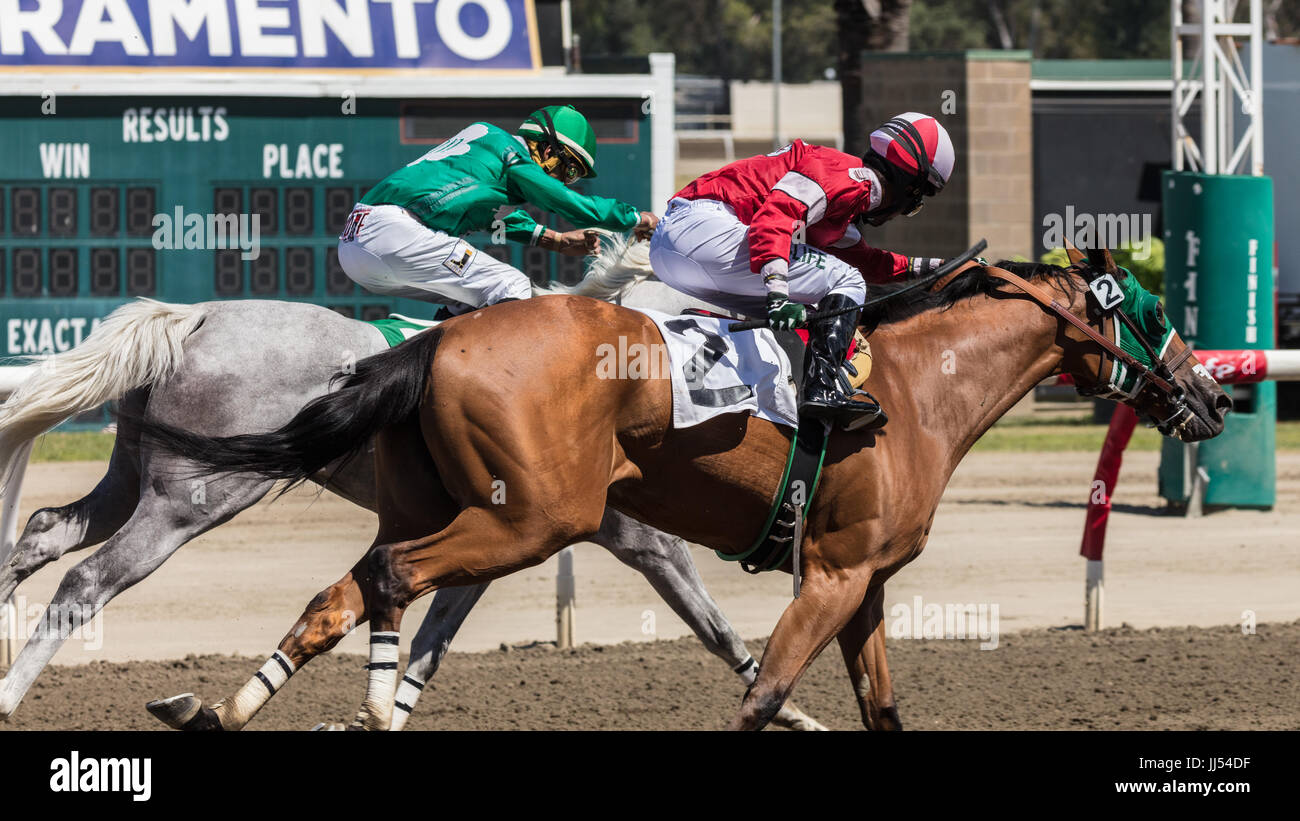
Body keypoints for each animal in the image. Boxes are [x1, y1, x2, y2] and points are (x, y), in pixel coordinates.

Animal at [0, 236, 828, 730]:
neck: (620, 359)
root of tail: (194, 316)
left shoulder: (502, 536)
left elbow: (430, 645)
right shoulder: (636, 537)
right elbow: (714, 624)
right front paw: (794, 713)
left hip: (132, 474)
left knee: (44, 530)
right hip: (189, 498)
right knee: (86, 581)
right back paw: (10, 692)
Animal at [133, 248, 1230, 731]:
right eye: (1146, 307)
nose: (1212, 392)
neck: (921, 389)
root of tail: (435, 338)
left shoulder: (865, 583)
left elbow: (879, 709)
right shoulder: (829, 576)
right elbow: (763, 692)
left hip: (441, 501)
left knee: (345, 589)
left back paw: (223, 707)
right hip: (536, 515)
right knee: (397, 574)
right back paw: (348, 703)